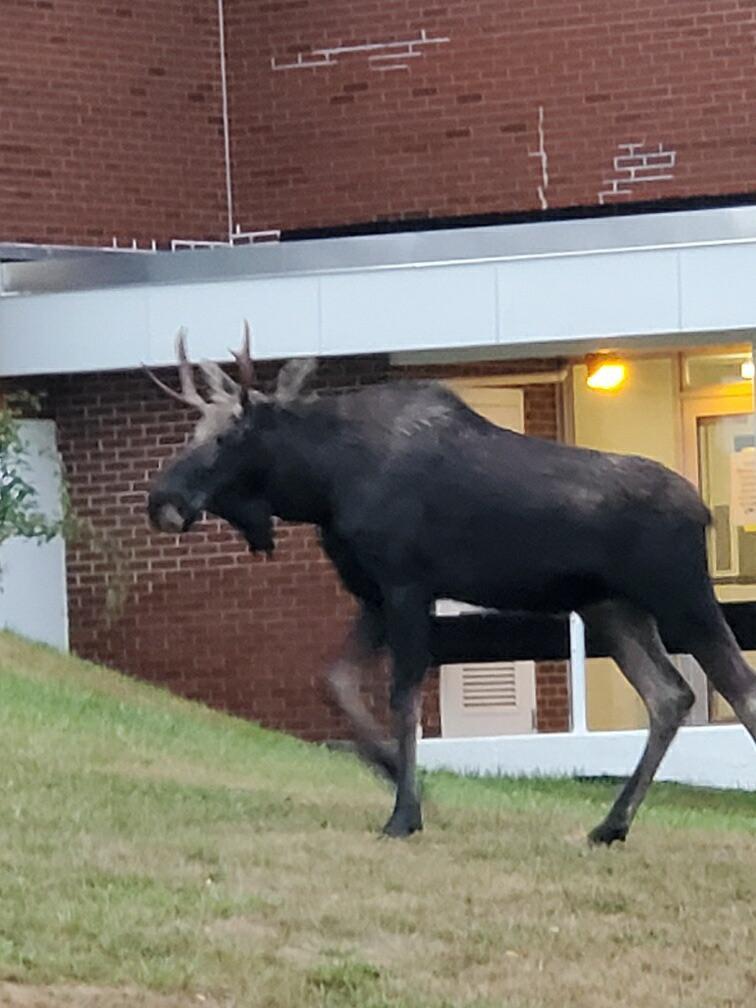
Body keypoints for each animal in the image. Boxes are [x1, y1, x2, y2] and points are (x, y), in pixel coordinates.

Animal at [145, 325, 756, 843]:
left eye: (229, 434)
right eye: (193, 430)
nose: (161, 501)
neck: (321, 483)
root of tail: (703, 511)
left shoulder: (407, 585)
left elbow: (404, 698)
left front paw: (405, 812)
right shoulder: (372, 593)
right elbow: (336, 682)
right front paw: (395, 774)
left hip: (681, 597)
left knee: (738, 686)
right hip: (613, 610)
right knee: (670, 696)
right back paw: (610, 825)